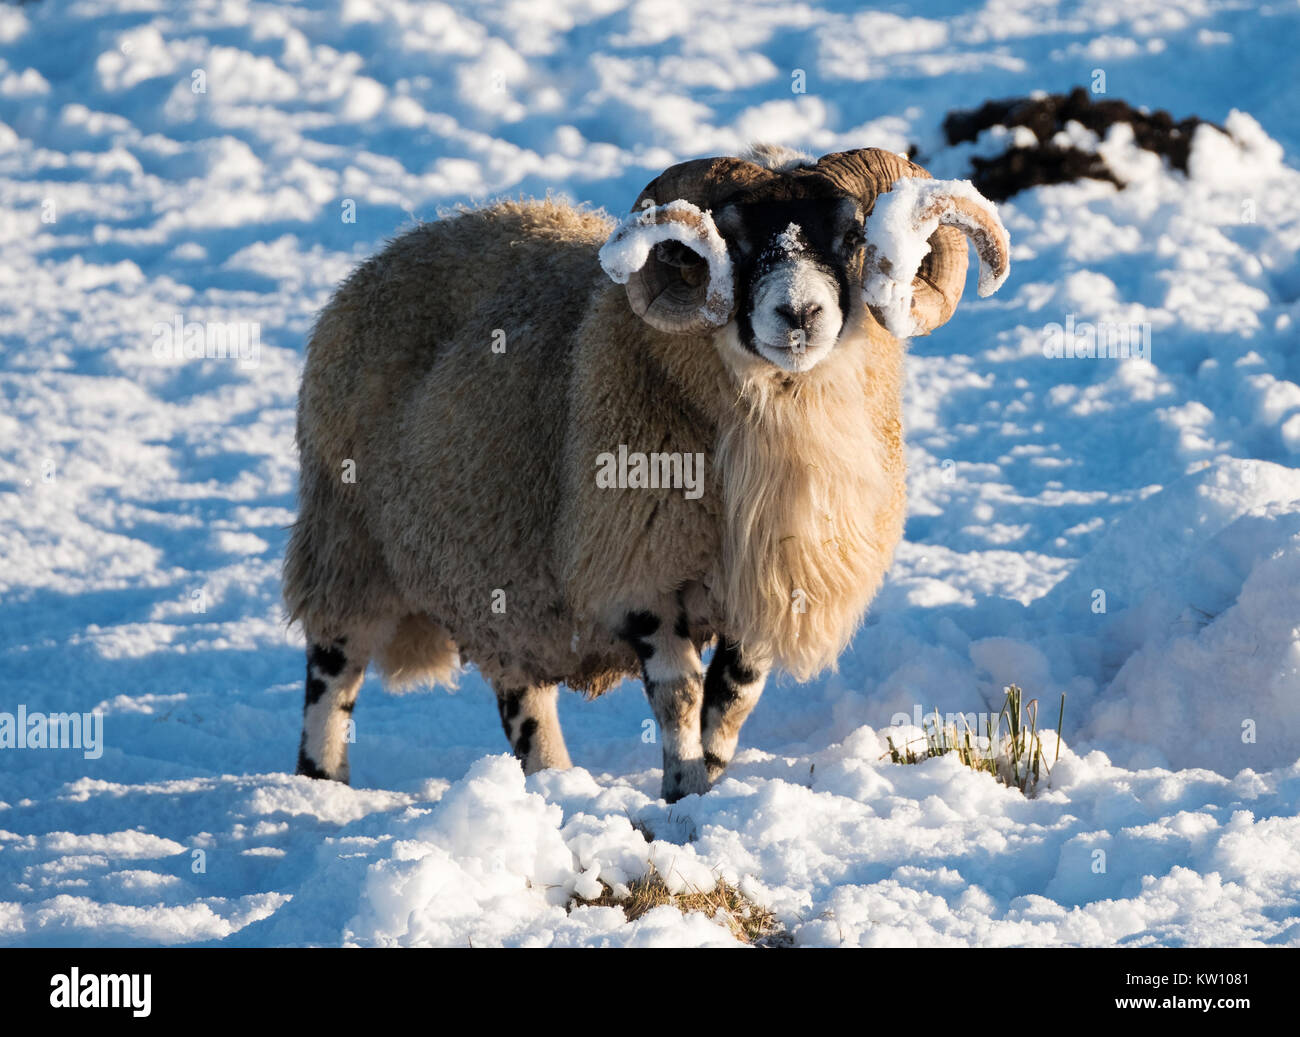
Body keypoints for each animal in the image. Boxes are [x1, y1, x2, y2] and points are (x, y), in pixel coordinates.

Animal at [287, 142, 1013, 800]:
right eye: (734, 240)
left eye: (853, 234)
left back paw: (553, 785)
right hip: (347, 538)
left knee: (522, 698)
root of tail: (404, 243)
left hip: (497, 575)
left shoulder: (764, 582)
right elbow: (680, 694)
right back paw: (324, 790)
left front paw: (710, 784)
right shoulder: (639, 569)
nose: (799, 315)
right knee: (333, 676)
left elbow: (733, 695)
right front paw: (681, 793)